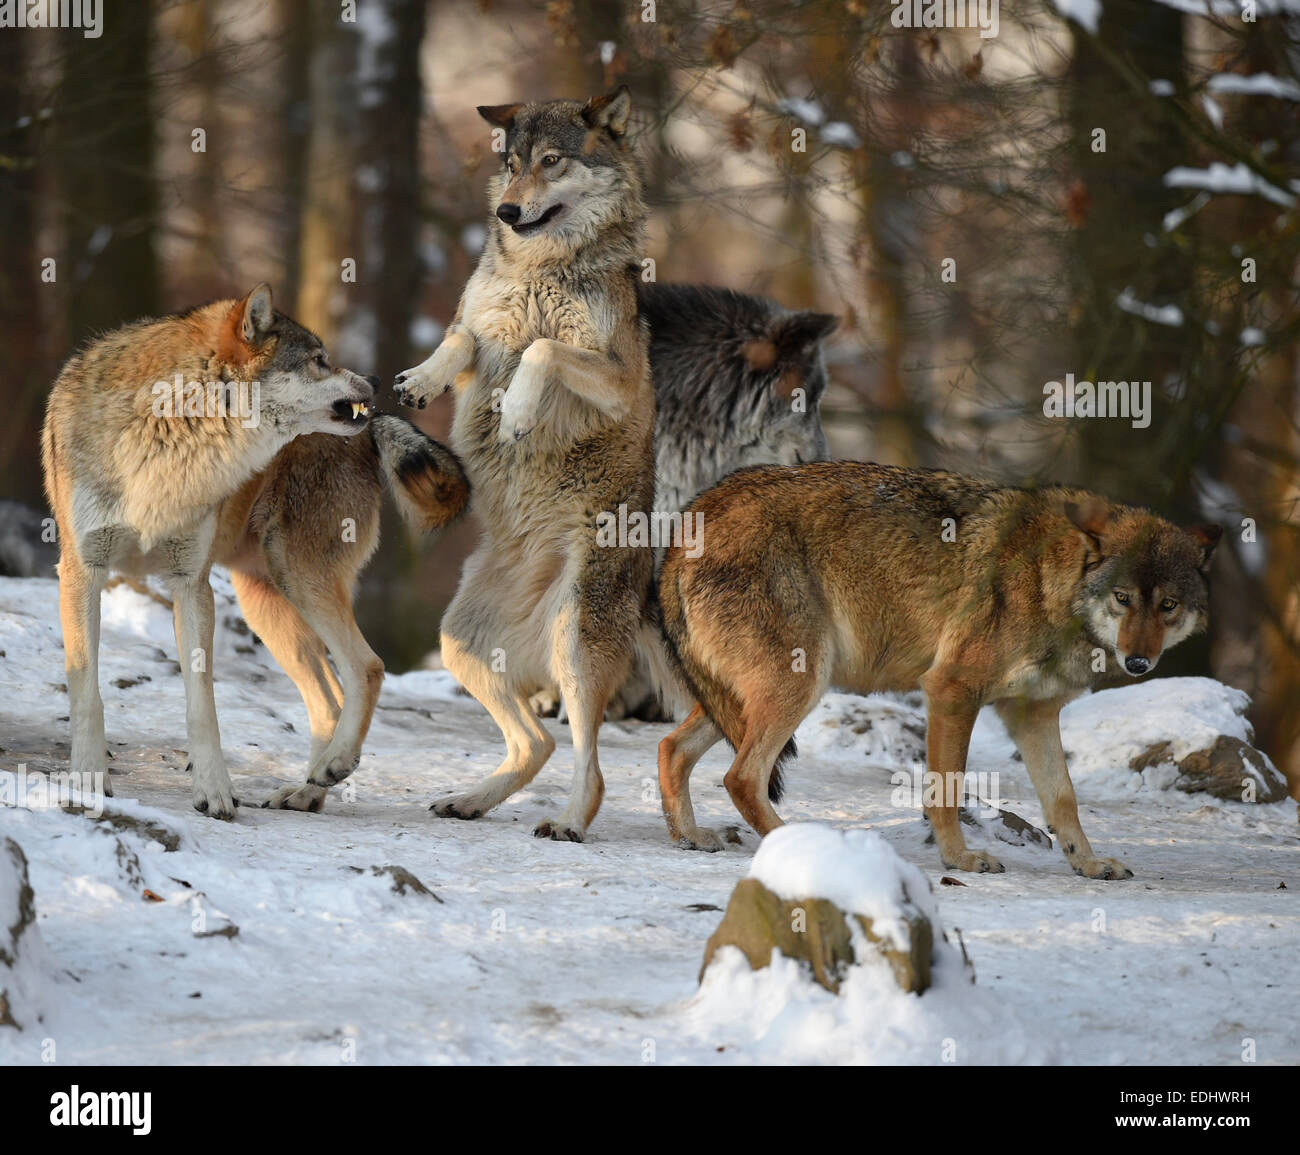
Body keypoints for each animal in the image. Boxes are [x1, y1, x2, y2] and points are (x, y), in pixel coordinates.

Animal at [42, 284, 468, 819]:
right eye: (319, 360)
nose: (373, 379)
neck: (169, 442)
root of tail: (369, 433)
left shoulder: (191, 584)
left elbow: (202, 705)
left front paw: (214, 791)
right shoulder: (82, 571)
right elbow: (86, 691)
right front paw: (87, 780)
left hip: (294, 578)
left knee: (366, 669)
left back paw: (331, 768)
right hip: (267, 602)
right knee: (330, 700)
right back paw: (307, 790)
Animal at [393, 86, 655, 842]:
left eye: (552, 161)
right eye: (511, 164)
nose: (509, 211)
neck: (541, 268)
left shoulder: (617, 375)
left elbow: (541, 351)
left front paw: (516, 414)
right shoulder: (479, 333)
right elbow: (461, 338)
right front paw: (420, 380)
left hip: (575, 641)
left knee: (590, 765)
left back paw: (567, 822)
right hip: (460, 643)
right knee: (535, 743)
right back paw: (469, 800)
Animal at [657, 462, 1221, 878]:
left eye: (1168, 605)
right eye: (1123, 599)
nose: (1139, 661)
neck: (1049, 585)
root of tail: (696, 513)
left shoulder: (1033, 714)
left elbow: (1064, 799)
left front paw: (1088, 863)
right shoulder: (952, 689)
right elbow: (947, 787)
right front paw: (961, 859)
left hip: (751, 697)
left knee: (671, 749)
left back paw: (692, 837)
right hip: (800, 683)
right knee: (740, 777)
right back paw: (792, 845)